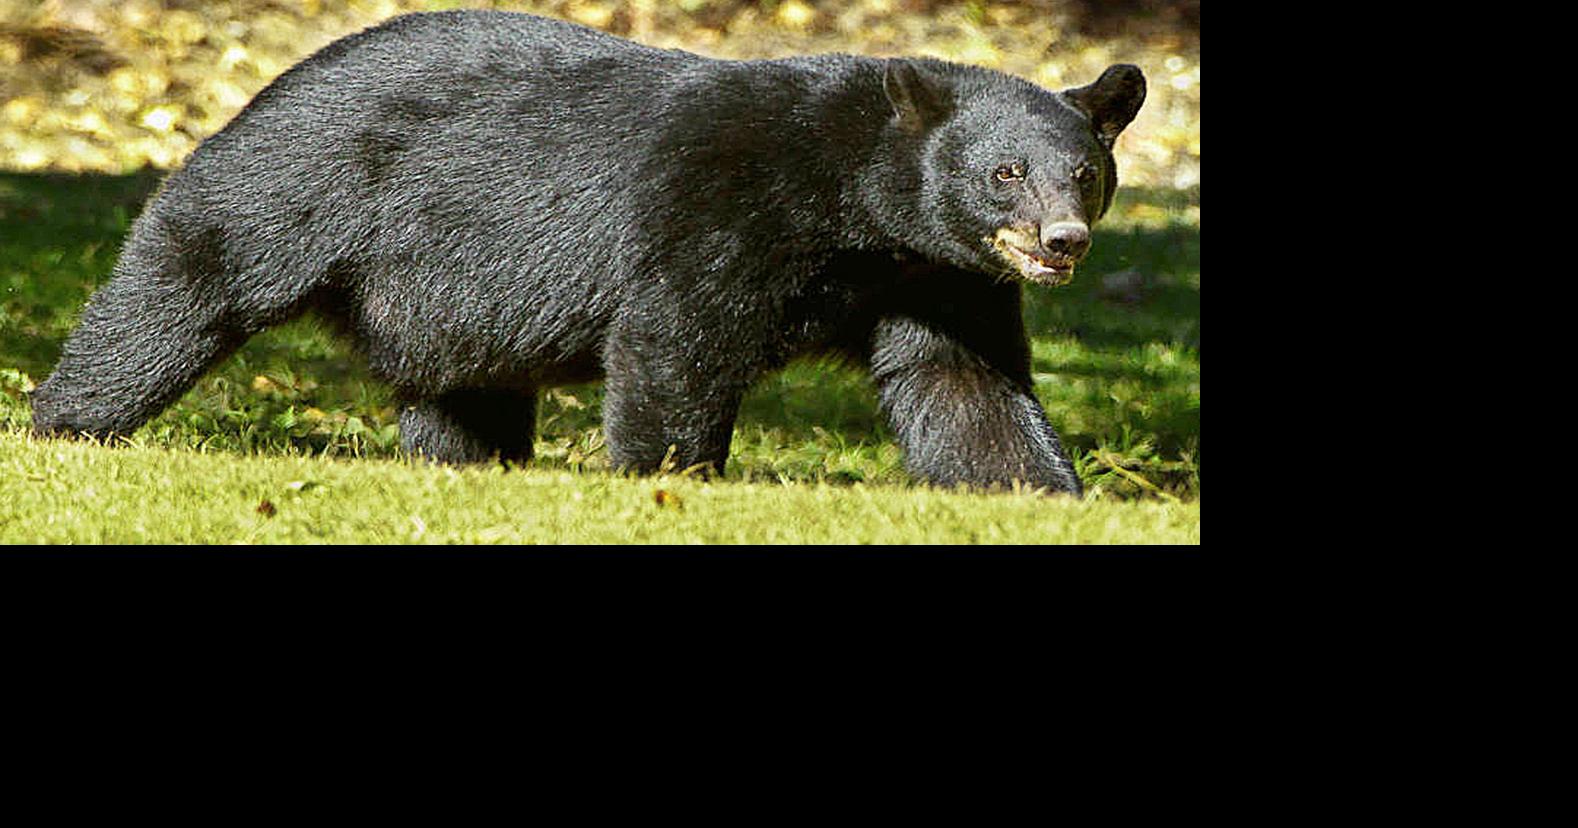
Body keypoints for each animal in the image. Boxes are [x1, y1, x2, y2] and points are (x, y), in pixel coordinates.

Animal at [29, 9, 1145, 495]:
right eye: (1005, 173)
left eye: (1085, 172)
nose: (1063, 241)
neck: (853, 204)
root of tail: (273, 79)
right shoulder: (721, 203)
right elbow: (675, 338)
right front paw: (669, 482)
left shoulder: (934, 274)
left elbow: (963, 383)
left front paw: (1041, 491)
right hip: (299, 183)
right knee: (185, 284)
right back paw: (67, 424)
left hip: (445, 295)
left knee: (462, 390)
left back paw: (469, 466)